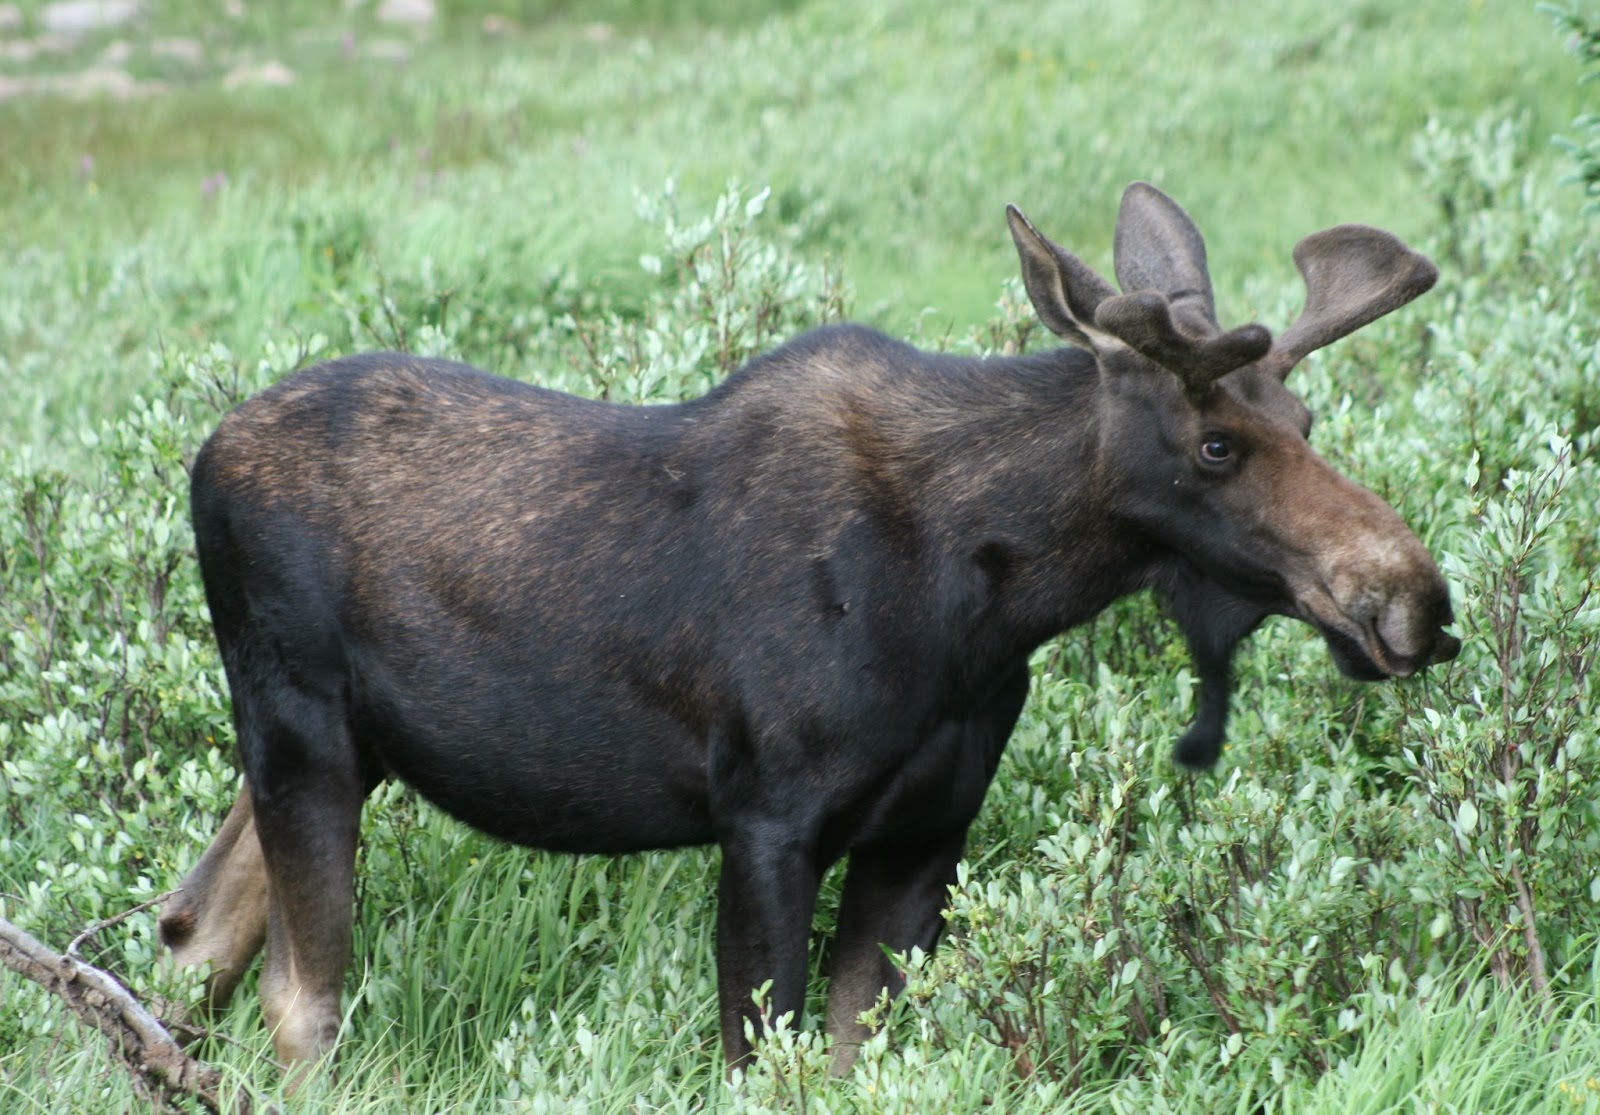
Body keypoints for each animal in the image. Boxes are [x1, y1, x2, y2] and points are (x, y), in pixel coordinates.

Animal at [158, 182, 1459, 1082]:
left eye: (1306, 416)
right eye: (1214, 444)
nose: (1415, 599)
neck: (988, 606)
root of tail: (201, 456)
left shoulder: (928, 828)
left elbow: (844, 1052)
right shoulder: (765, 818)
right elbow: (759, 1056)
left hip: (339, 748)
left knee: (195, 925)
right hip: (298, 726)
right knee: (297, 996)